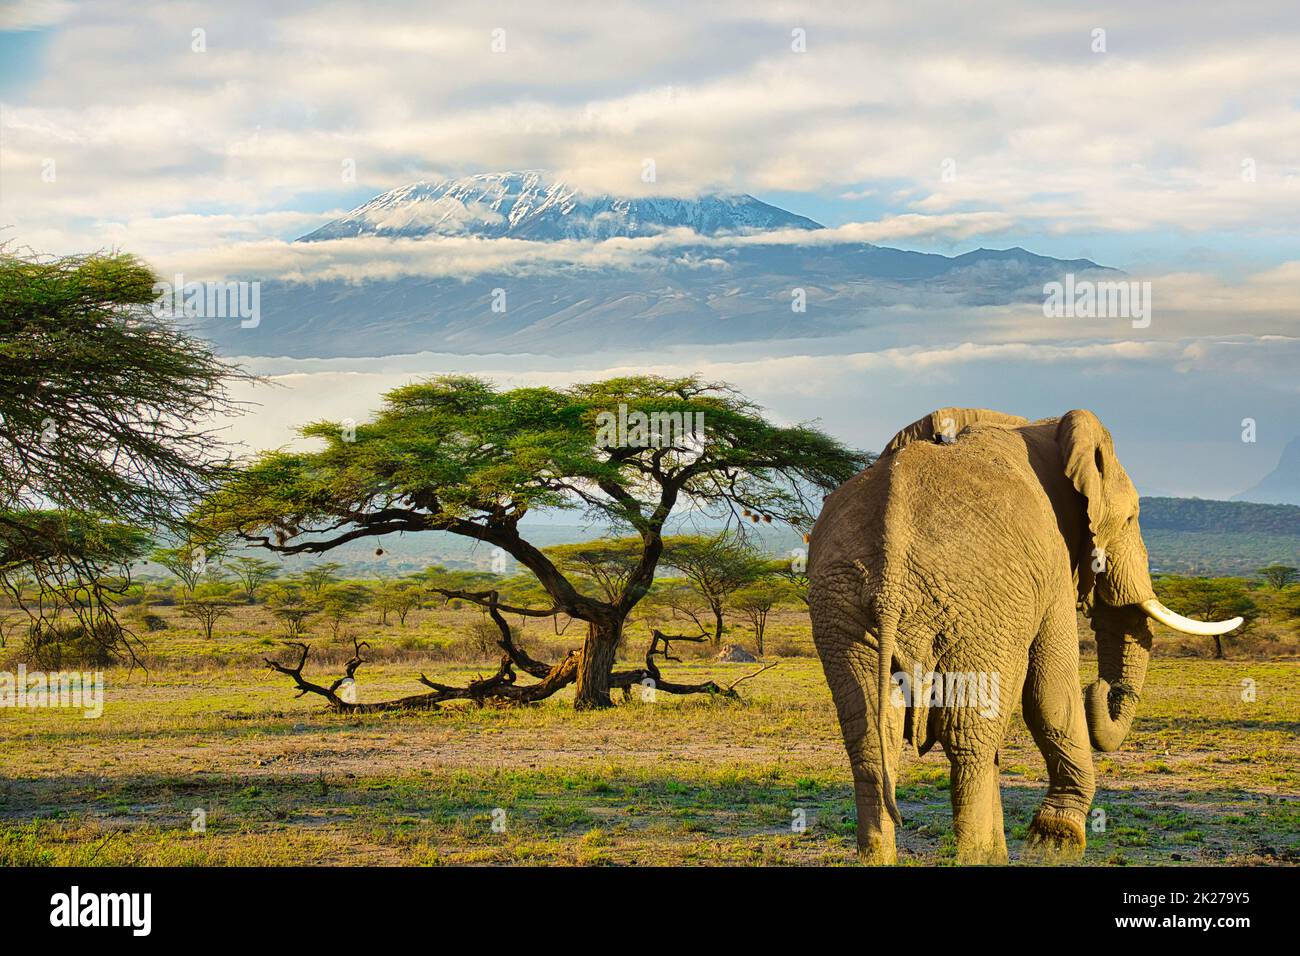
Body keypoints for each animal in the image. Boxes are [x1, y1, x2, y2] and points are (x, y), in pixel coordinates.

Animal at [807, 407, 1242, 864]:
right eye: (1130, 519)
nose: (1101, 687)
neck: (1043, 428)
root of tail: (889, 583)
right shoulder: (1051, 563)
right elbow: (1050, 691)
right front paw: (1056, 841)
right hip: (976, 606)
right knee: (969, 739)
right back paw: (982, 857)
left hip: (844, 608)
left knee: (873, 737)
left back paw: (889, 855)